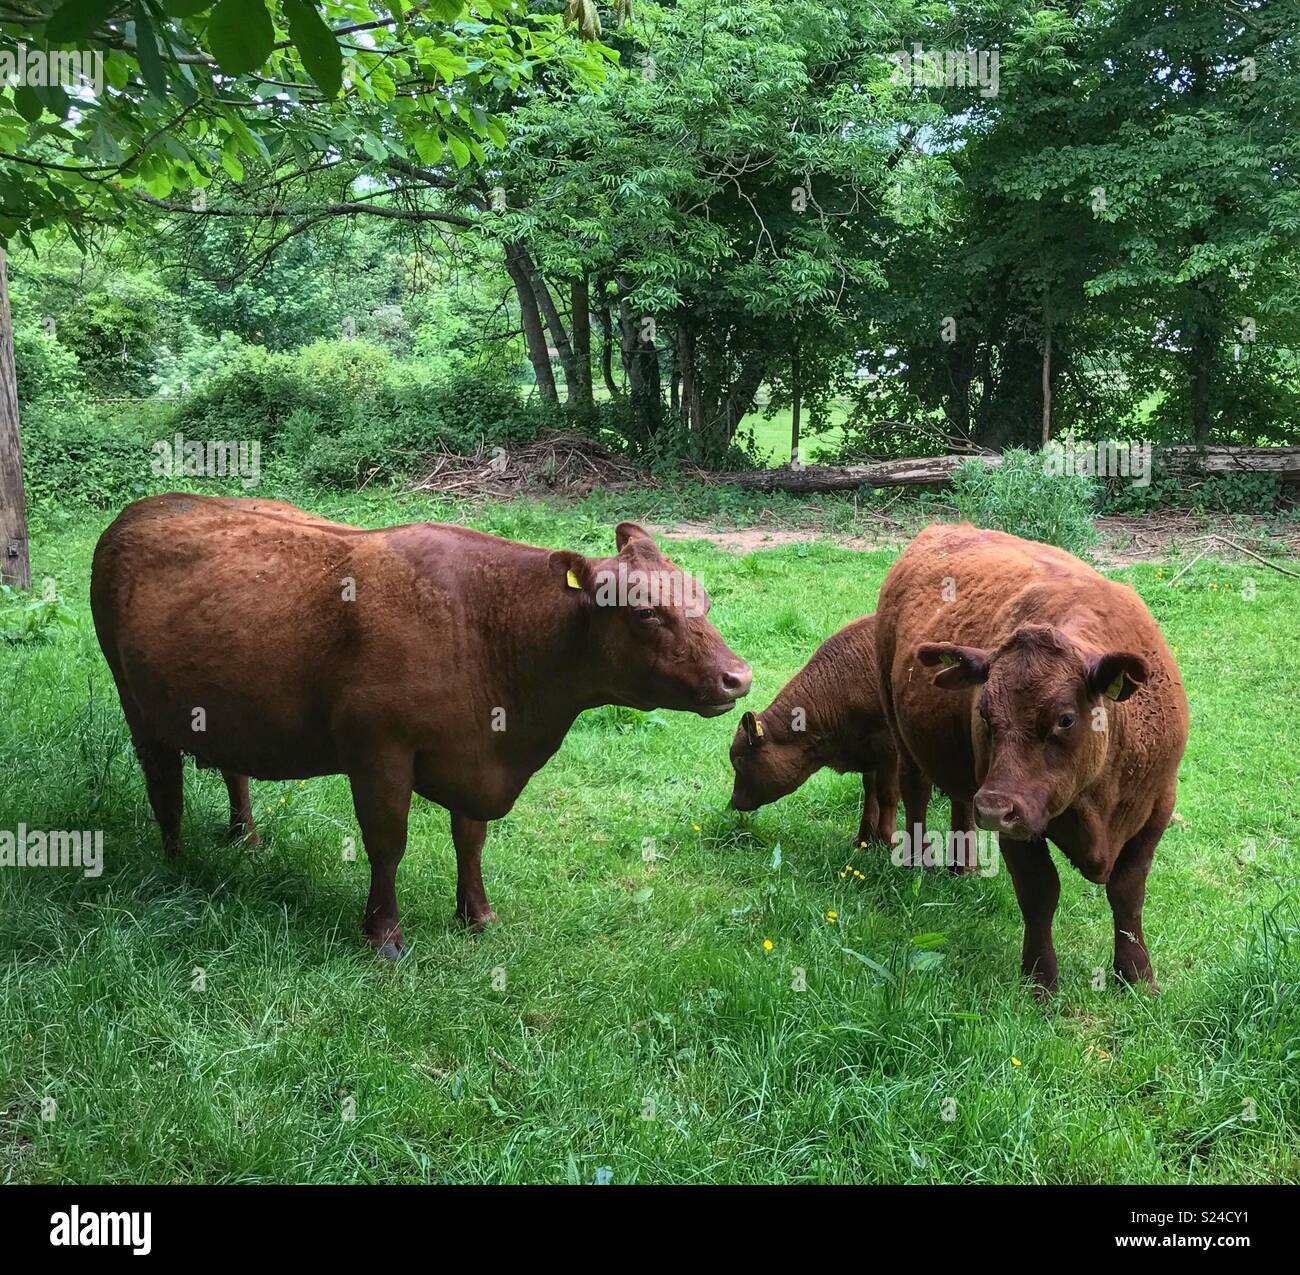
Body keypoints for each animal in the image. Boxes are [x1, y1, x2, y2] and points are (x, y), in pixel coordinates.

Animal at [90, 495, 752, 956]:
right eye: (644, 613)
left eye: (703, 597)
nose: (738, 677)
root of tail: (141, 509)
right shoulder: (379, 750)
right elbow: (387, 844)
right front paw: (384, 934)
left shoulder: (476, 750)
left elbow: (471, 837)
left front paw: (477, 915)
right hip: (134, 702)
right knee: (164, 786)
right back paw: (176, 866)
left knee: (234, 769)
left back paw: (244, 838)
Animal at [728, 615, 906, 849]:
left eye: (739, 761)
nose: (734, 802)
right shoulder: (869, 755)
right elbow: (870, 790)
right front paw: (863, 839)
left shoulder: (888, 748)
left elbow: (887, 793)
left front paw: (887, 842)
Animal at [874, 523, 1188, 995]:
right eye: (985, 714)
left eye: (1065, 719)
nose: (993, 806)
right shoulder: (1017, 822)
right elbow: (1040, 891)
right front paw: (1041, 980)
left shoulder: (1158, 806)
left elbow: (1128, 892)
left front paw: (1135, 976)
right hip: (902, 729)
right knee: (916, 791)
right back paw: (919, 861)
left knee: (961, 801)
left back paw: (963, 867)